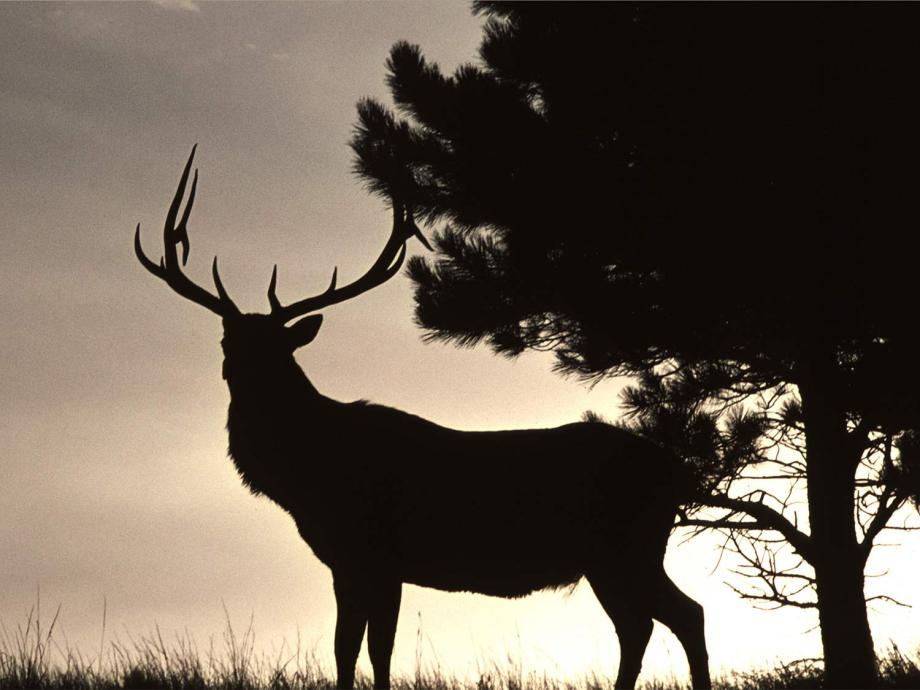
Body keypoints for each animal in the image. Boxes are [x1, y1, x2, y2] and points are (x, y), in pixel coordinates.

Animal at [134, 147, 711, 690]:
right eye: (228, 340)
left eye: (280, 347)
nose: (239, 372)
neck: (308, 477)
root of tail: (678, 470)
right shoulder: (350, 562)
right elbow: (349, 649)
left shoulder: (378, 553)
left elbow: (372, 649)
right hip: (616, 556)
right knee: (650, 624)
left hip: (625, 548)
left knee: (681, 615)